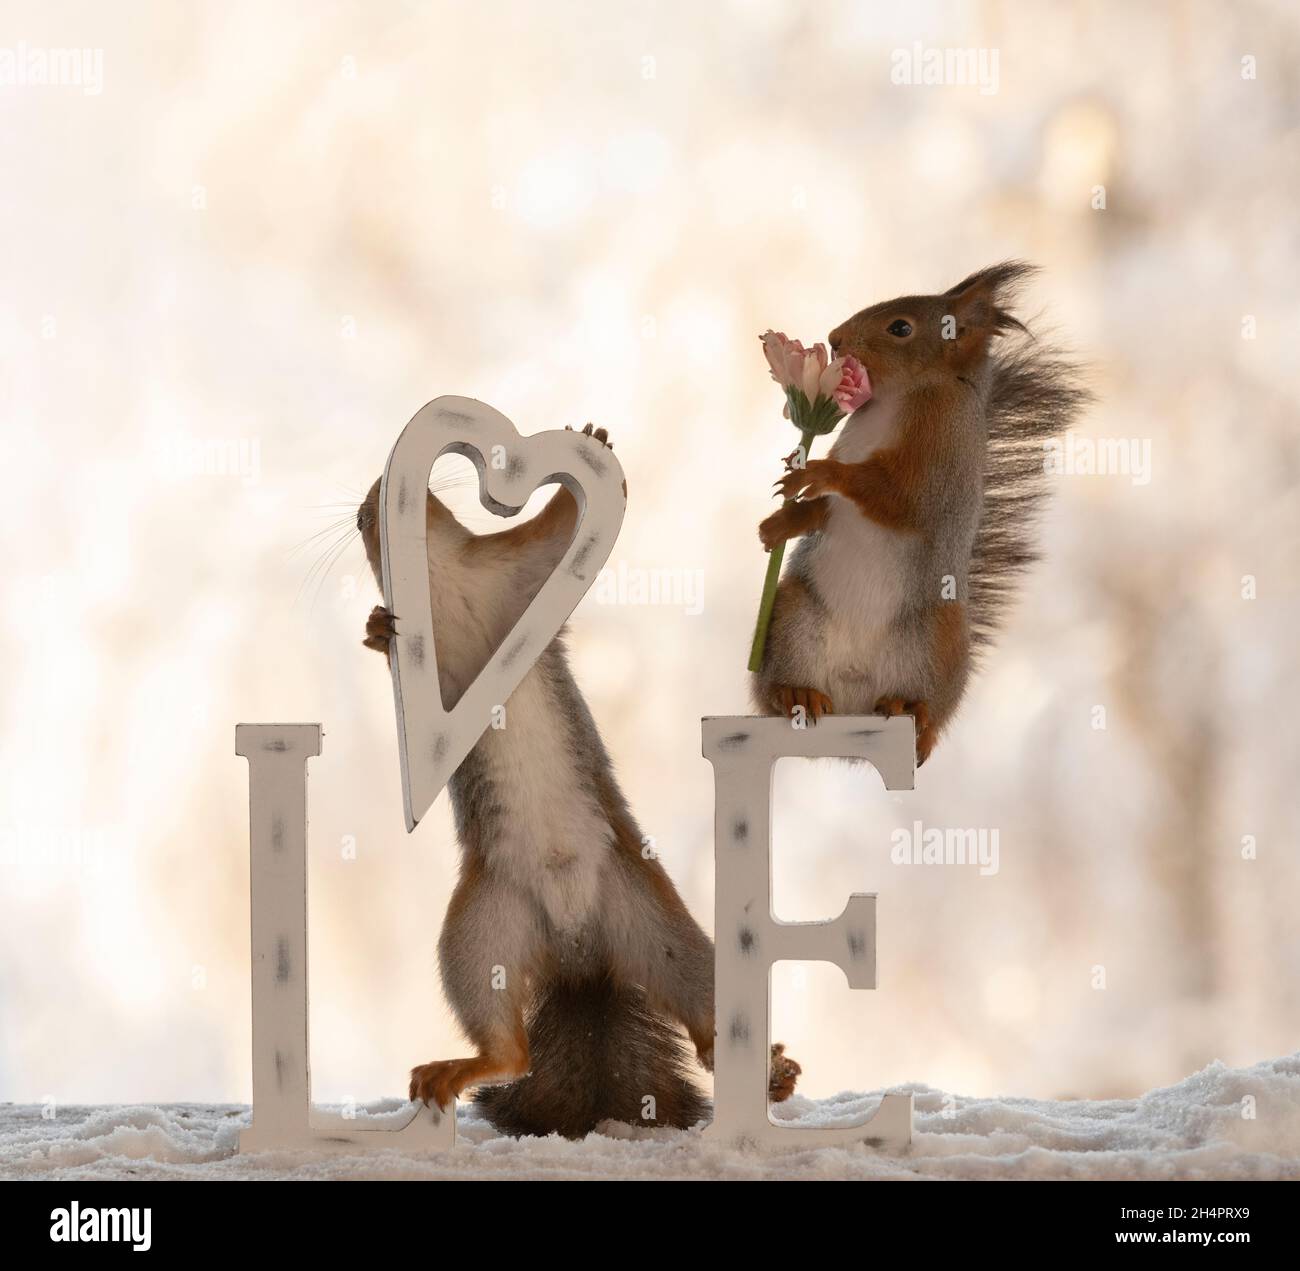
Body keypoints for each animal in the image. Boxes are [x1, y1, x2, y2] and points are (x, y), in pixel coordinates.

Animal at [356, 424, 801, 1137]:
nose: (371, 498)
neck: (443, 581)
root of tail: (580, 960)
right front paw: (378, 628)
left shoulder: (521, 573)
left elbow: (556, 534)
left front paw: (594, 441)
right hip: (481, 935)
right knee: (508, 1048)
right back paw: (464, 1066)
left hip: (663, 928)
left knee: (708, 1022)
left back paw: (772, 1071)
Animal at [752, 262, 1090, 764]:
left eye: (900, 328)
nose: (835, 340)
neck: (897, 397)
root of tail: (854, 701)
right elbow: (823, 513)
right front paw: (779, 522)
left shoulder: (937, 462)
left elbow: (894, 495)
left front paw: (817, 471)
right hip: (792, 613)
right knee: (777, 692)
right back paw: (797, 694)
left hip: (940, 641)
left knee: (931, 710)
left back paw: (915, 715)